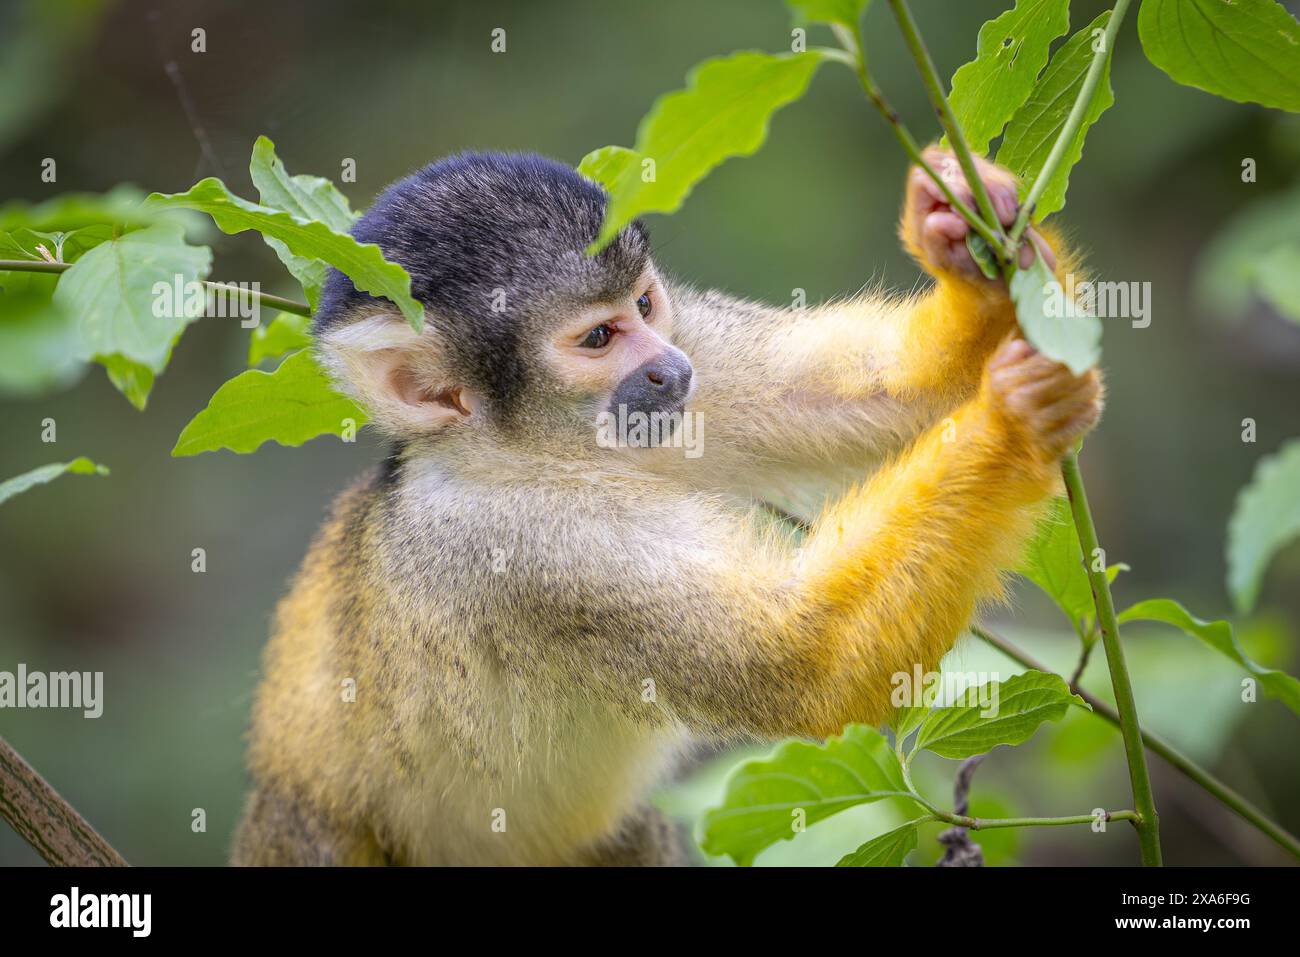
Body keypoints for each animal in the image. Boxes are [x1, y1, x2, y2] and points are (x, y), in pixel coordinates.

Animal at [230, 146, 1101, 866]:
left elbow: (879, 391)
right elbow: (800, 659)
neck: (531, 451)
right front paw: (1013, 416)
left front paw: (962, 230)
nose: (667, 368)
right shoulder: (519, 542)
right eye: (597, 338)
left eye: (645, 308)